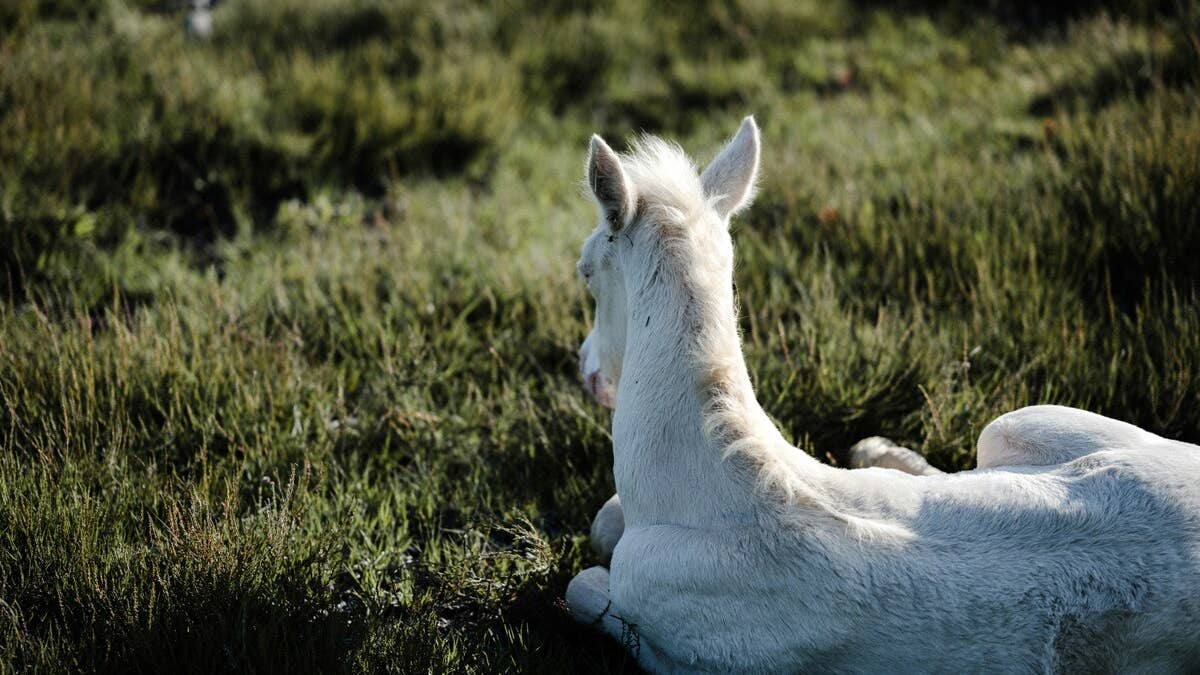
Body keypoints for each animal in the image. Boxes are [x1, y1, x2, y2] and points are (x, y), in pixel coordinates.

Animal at [565, 116, 1200, 673]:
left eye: (585, 271)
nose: (587, 371)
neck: (691, 488)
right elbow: (604, 518)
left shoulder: (671, 636)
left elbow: (584, 580)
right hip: (1027, 422)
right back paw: (877, 452)